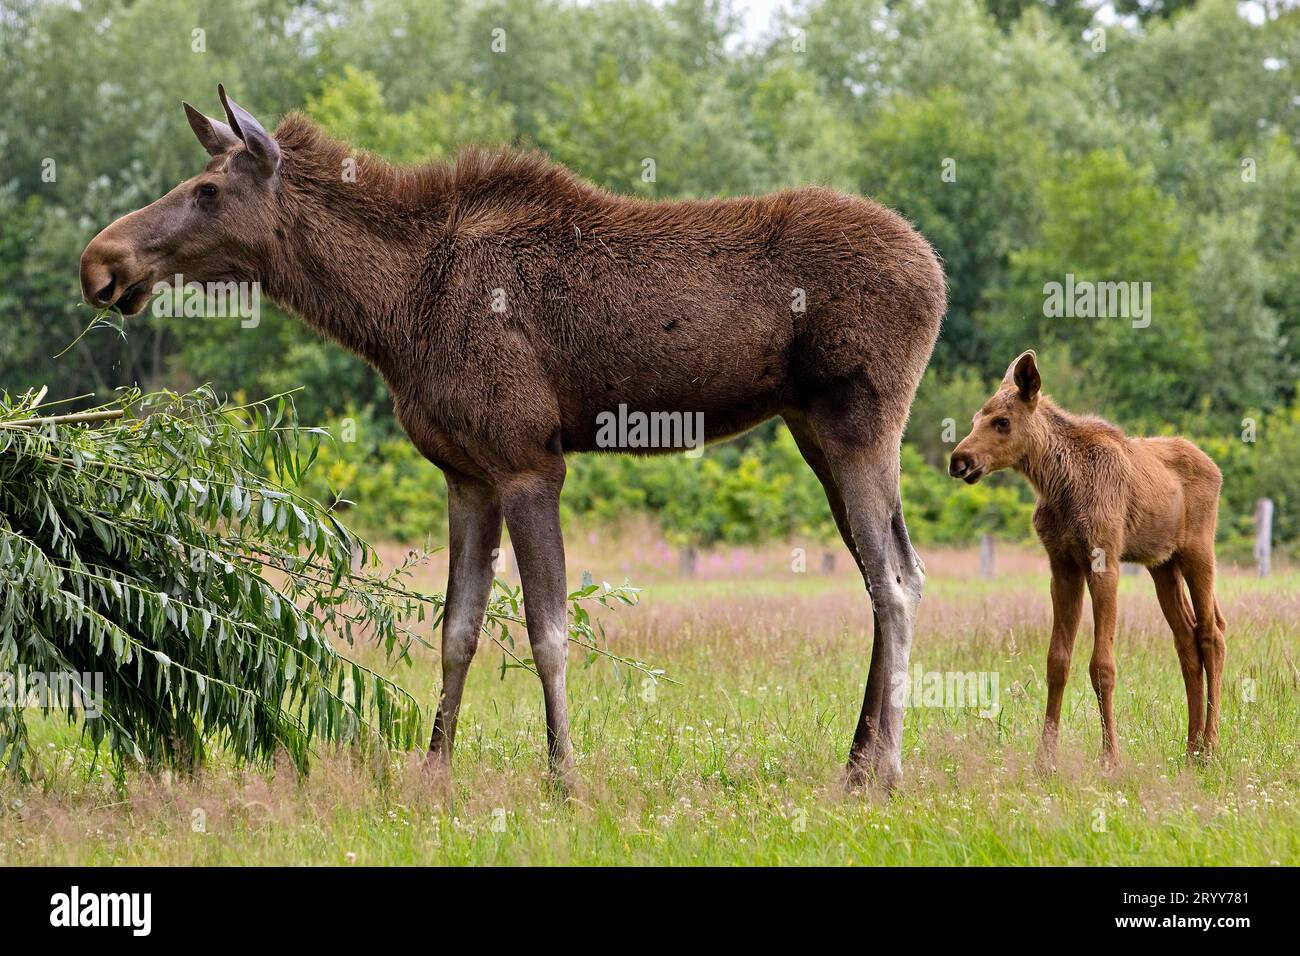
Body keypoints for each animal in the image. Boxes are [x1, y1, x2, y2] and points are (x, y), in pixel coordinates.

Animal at [79, 86, 947, 790]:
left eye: (207, 189)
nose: (99, 260)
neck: (390, 315)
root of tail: (936, 272)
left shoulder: (530, 462)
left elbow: (547, 629)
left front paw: (564, 775)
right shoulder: (465, 473)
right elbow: (456, 629)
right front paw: (434, 770)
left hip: (862, 420)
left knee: (898, 583)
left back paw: (887, 770)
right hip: (813, 430)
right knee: (886, 577)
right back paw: (855, 759)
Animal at [948, 351, 1226, 769]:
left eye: (1002, 421)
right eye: (974, 420)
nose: (959, 461)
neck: (1057, 483)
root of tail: (1216, 469)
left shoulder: (1104, 560)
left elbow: (1102, 665)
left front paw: (1110, 757)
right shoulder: (1062, 565)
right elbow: (1057, 661)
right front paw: (1045, 757)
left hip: (1198, 550)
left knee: (1212, 634)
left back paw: (1209, 746)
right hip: (1162, 564)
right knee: (1187, 639)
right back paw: (1190, 747)